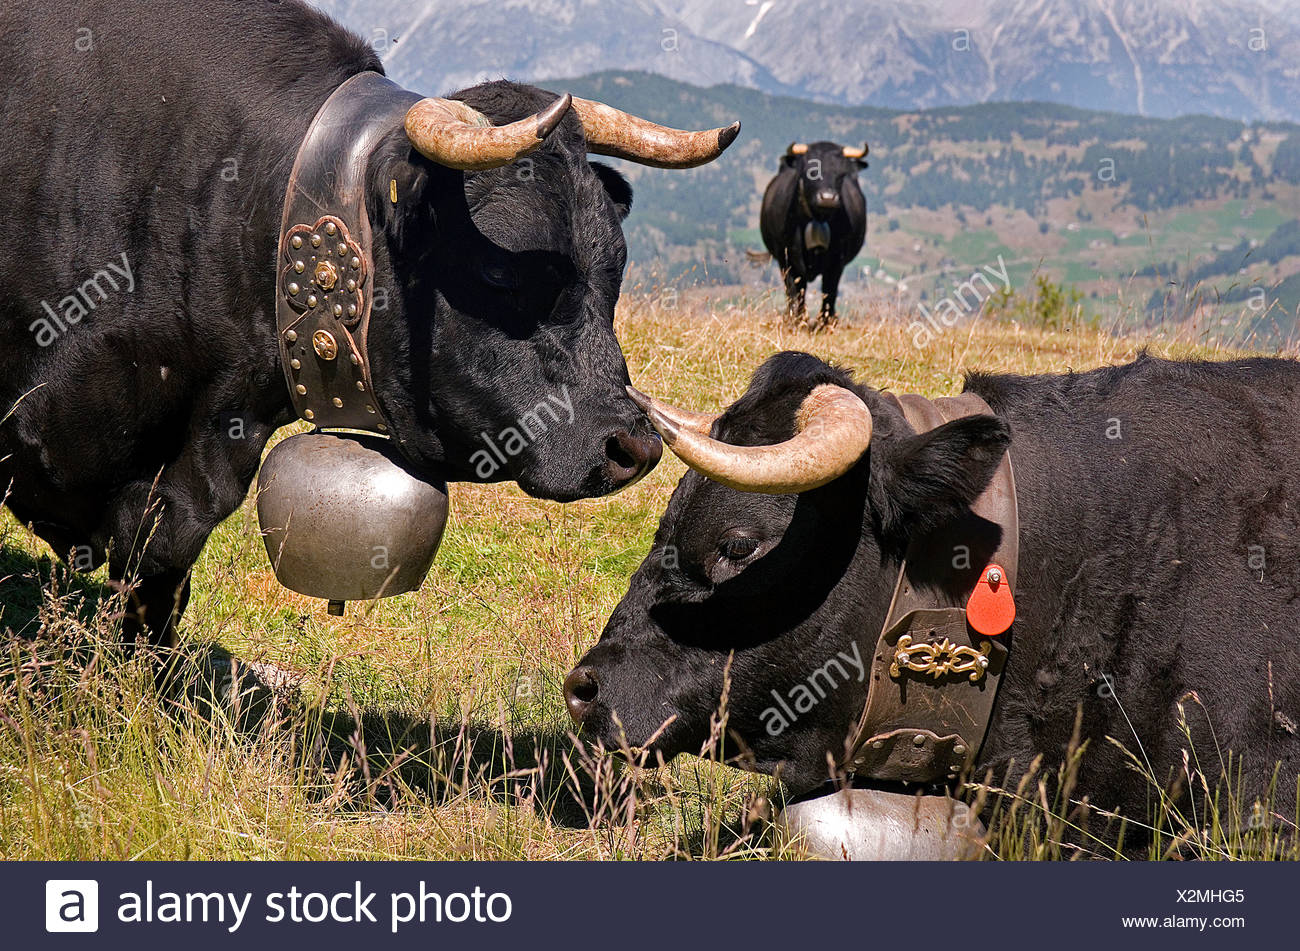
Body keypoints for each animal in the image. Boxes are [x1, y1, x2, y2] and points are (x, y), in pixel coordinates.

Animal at [760, 142, 868, 329]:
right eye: (810, 172)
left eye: (841, 174)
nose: (828, 198)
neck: (818, 218)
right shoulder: (786, 258)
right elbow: (793, 290)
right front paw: (795, 319)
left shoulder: (837, 262)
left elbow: (830, 291)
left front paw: (826, 322)